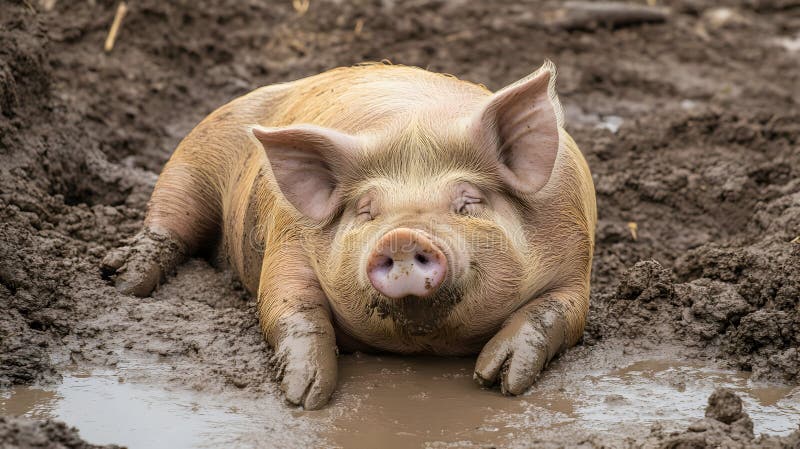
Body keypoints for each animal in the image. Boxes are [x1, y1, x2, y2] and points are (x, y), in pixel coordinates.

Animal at [101, 61, 597, 410]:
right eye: (366, 210)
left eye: (468, 201)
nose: (402, 237)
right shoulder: (288, 241)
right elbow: (289, 305)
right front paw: (304, 397)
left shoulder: (576, 260)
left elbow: (558, 312)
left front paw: (498, 382)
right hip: (195, 153)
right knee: (170, 216)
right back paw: (124, 283)